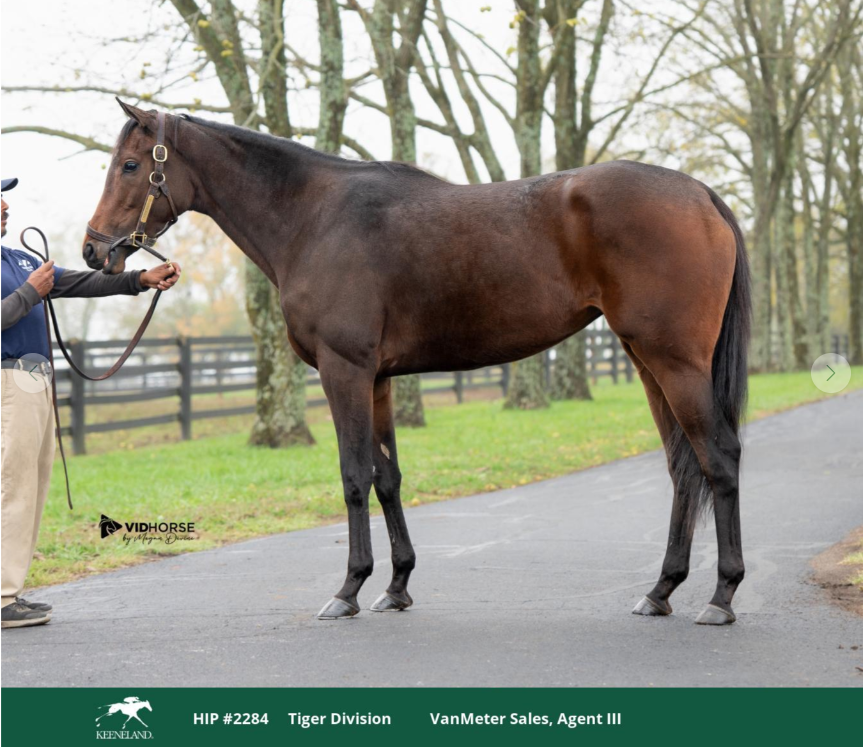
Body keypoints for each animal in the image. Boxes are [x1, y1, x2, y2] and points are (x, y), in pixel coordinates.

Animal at [83, 99, 750, 626]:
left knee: (717, 459)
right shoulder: (377, 380)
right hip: (646, 360)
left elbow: (354, 476)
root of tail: (702, 195)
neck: (314, 217)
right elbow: (388, 478)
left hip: (674, 362)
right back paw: (660, 591)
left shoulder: (344, 371)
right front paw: (397, 586)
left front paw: (348, 589)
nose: (94, 250)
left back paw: (721, 597)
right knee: (682, 467)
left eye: (132, 165)